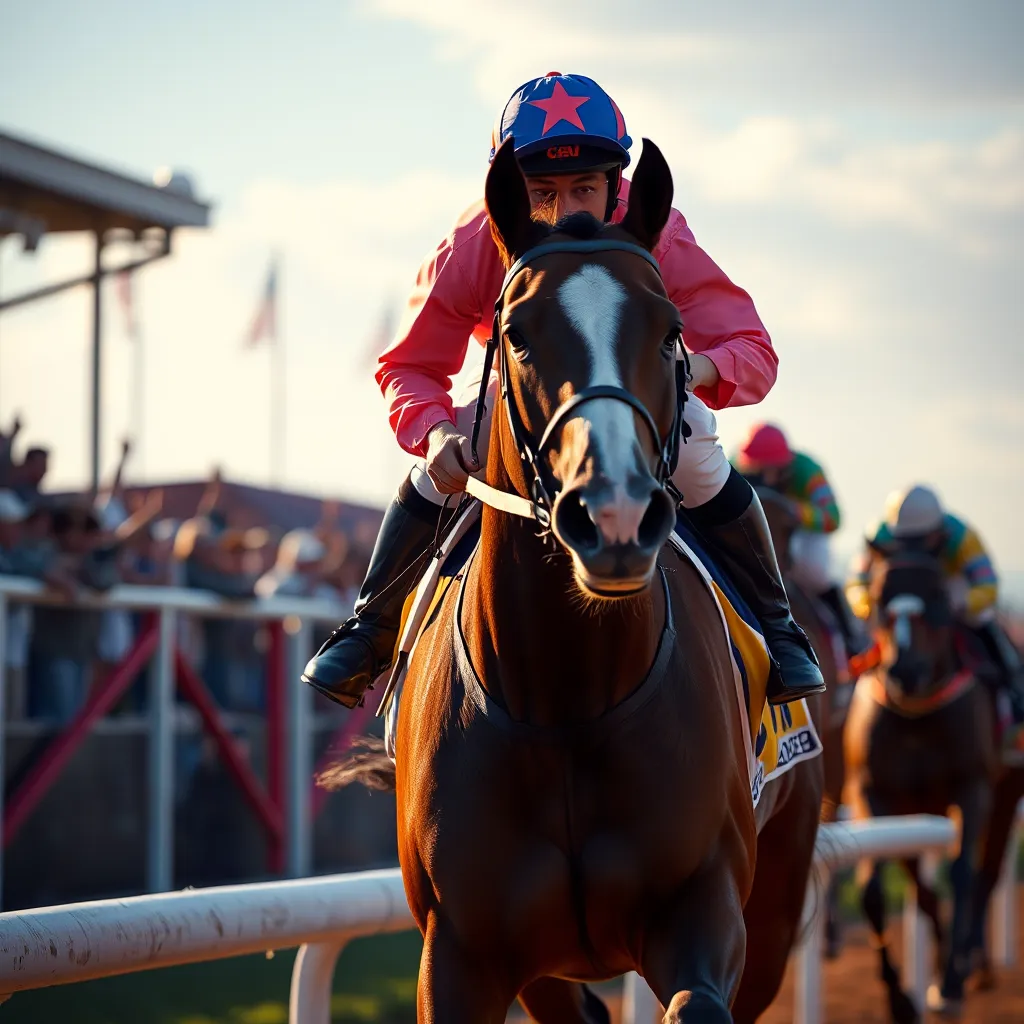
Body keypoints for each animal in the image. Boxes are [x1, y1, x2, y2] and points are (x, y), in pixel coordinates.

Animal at [843, 550, 997, 1021]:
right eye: (878, 597)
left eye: (938, 596)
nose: (904, 670)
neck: (916, 716)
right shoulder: (873, 793)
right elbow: (873, 890)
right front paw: (899, 999)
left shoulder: (973, 785)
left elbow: (963, 874)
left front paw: (949, 984)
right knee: (925, 890)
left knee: (986, 874)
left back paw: (975, 966)